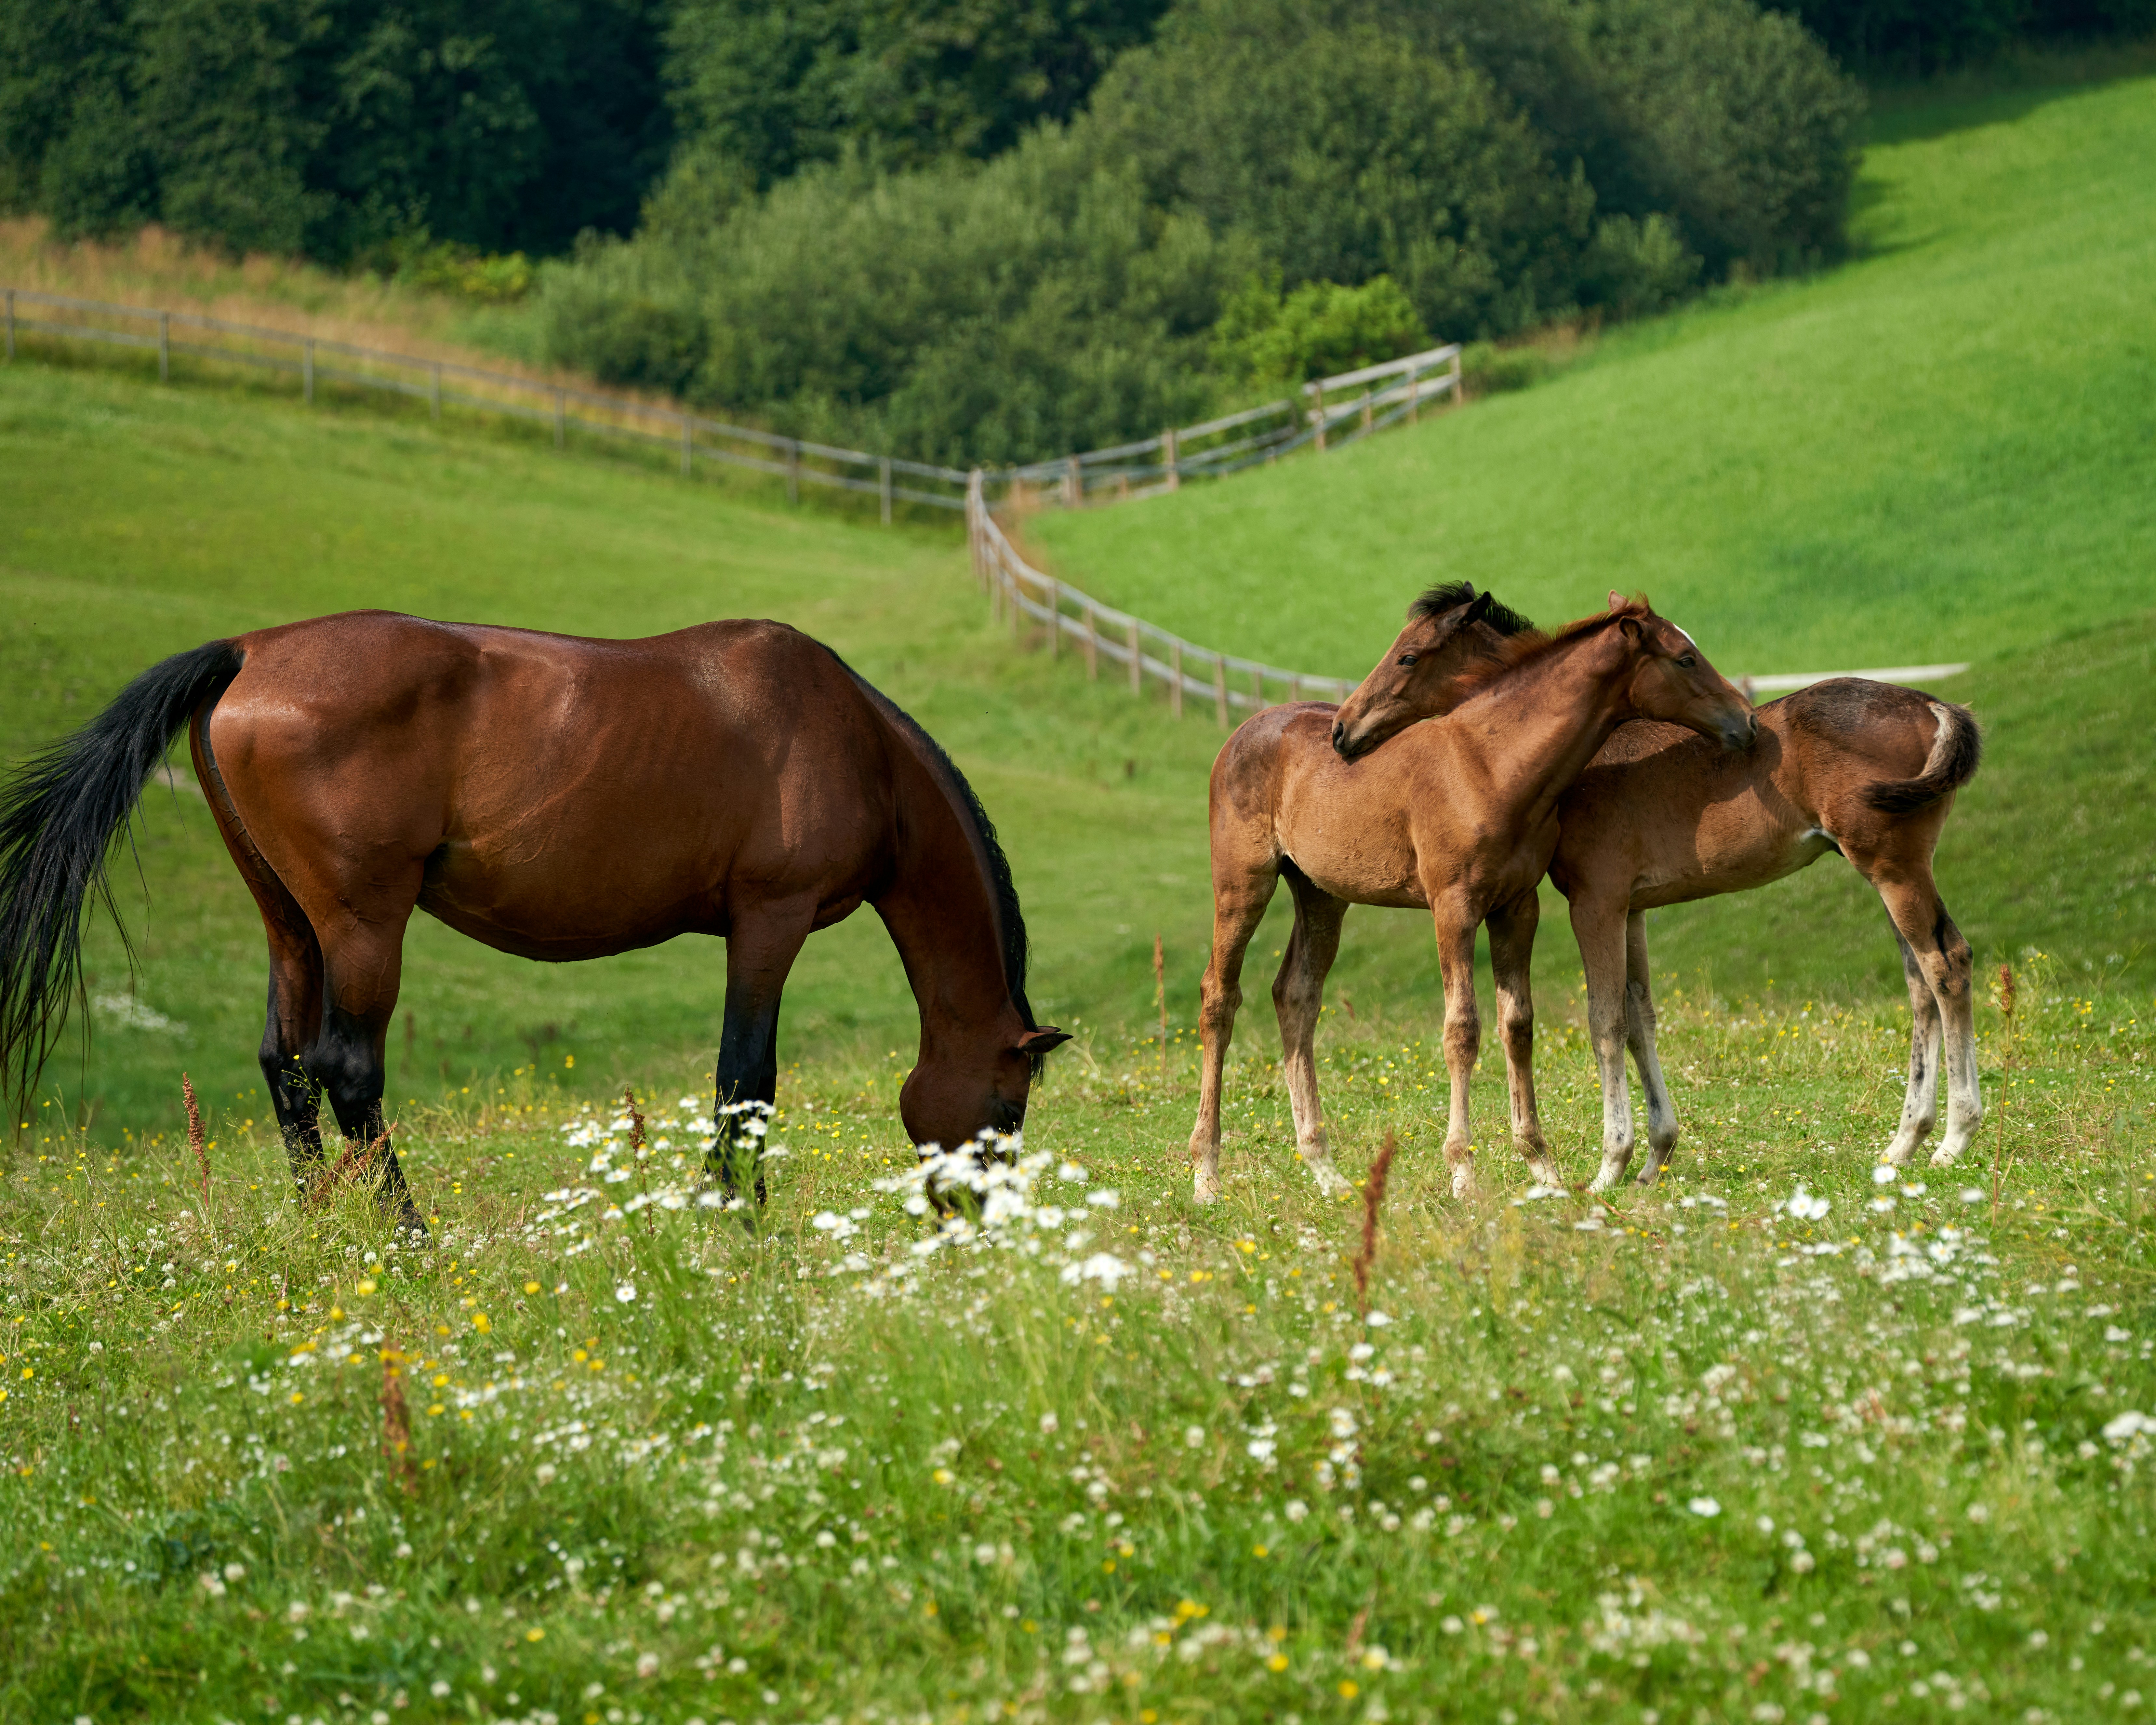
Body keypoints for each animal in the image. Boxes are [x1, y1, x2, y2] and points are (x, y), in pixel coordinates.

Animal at [0, 612, 1069, 1227]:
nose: (982, 1221)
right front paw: (735, 1215)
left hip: (288, 921)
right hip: (361, 922)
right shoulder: (771, 919)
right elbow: (746, 1078)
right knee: (347, 1068)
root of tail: (251, 652)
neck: (855, 743)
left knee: (286, 1064)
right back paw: (407, 1236)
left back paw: (320, 1231)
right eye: (1006, 1110)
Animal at [1188, 593, 1753, 1203]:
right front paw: (1462, 1169)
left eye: (1409, 655)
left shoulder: (1517, 906)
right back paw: (1206, 1173)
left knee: (1295, 995)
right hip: (1243, 883)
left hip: (1320, 896)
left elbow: (1518, 1024)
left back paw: (1326, 1169)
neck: (1490, 766)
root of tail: (1243, 731)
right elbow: (1462, 1029)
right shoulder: (1453, 907)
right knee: (1220, 997)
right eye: (1685, 658)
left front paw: (1541, 1164)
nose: (1746, 721)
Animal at [1334, 600, 1983, 1188]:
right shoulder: (1633, 908)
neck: (1575, 760)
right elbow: (1640, 1015)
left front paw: (1610, 1165)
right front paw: (1653, 1158)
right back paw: (1903, 1144)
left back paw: (1953, 1138)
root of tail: (1933, 705)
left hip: (1894, 868)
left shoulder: (1595, 901)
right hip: (1884, 872)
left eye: (1407, 655)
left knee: (1945, 965)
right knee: (1920, 983)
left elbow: (1605, 1020)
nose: (1343, 729)